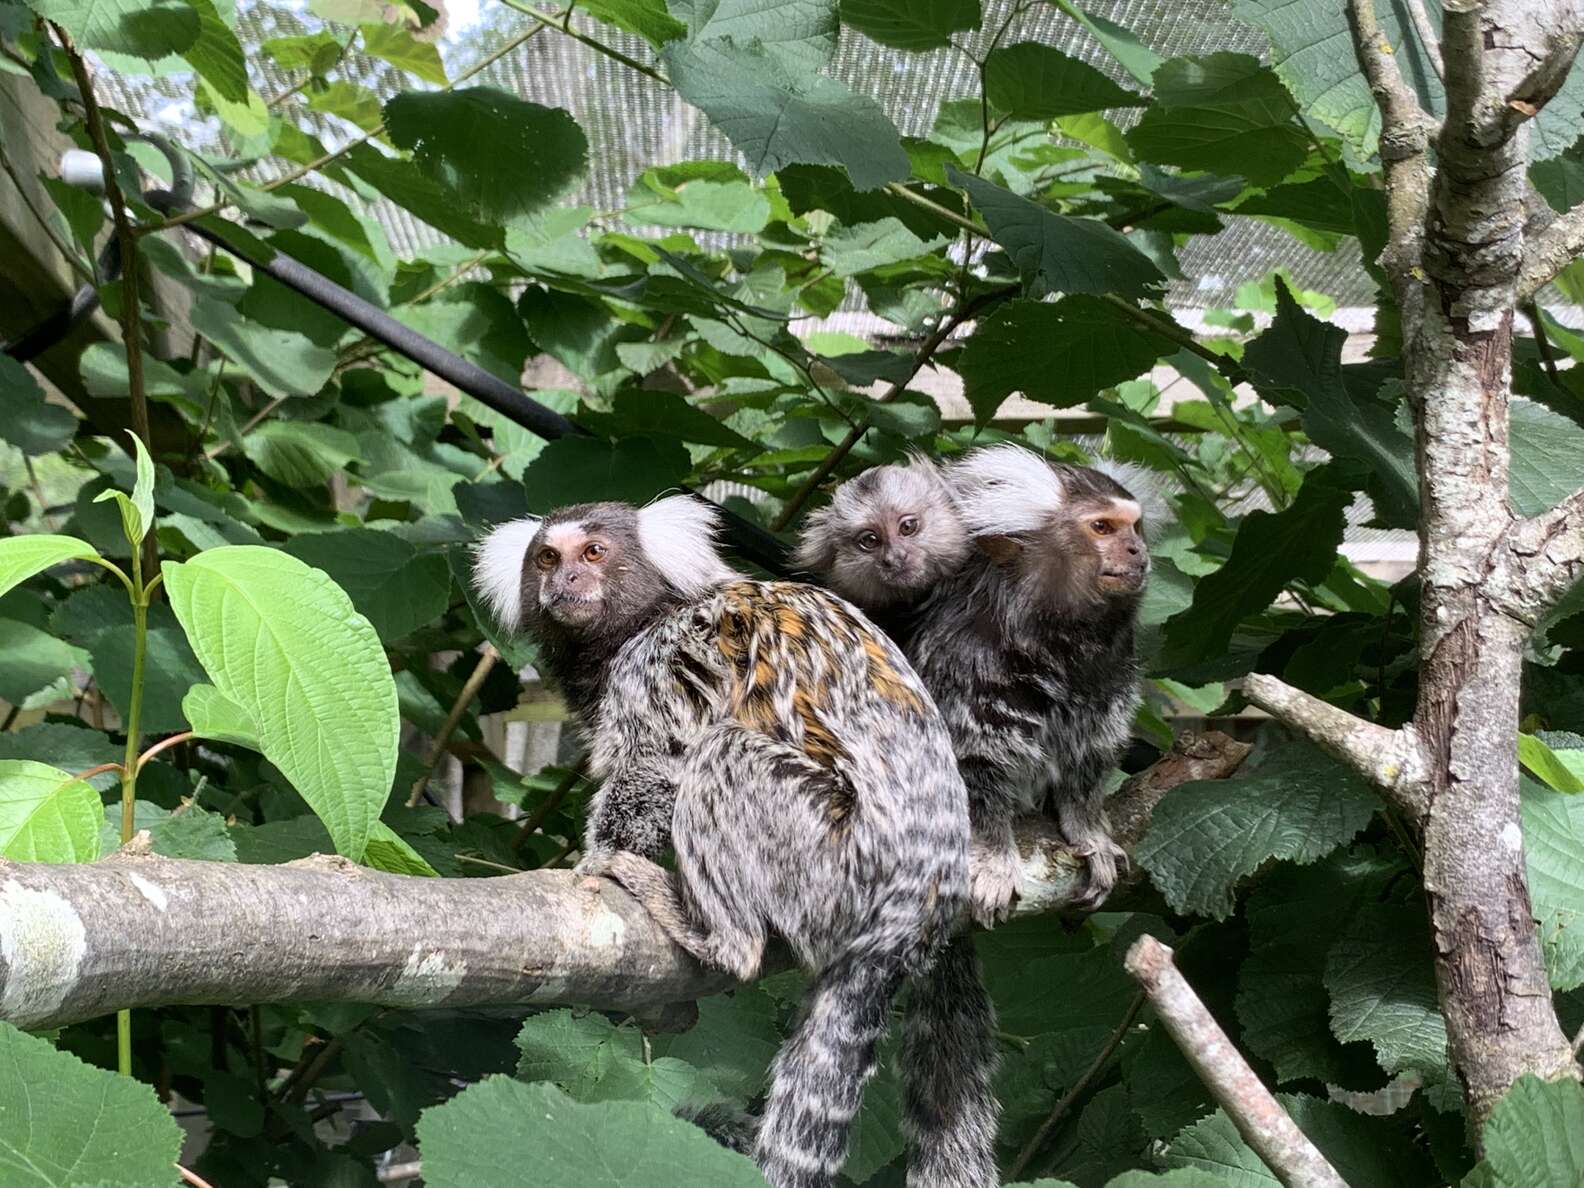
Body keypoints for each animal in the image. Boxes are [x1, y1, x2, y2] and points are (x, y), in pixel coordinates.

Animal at [473, 495, 991, 1188]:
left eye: (594, 553)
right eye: (547, 559)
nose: (567, 581)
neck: (643, 618)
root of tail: (914, 916)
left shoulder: (660, 660)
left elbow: (659, 763)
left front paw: (601, 860)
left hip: (833, 861)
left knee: (724, 751)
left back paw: (722, 939)